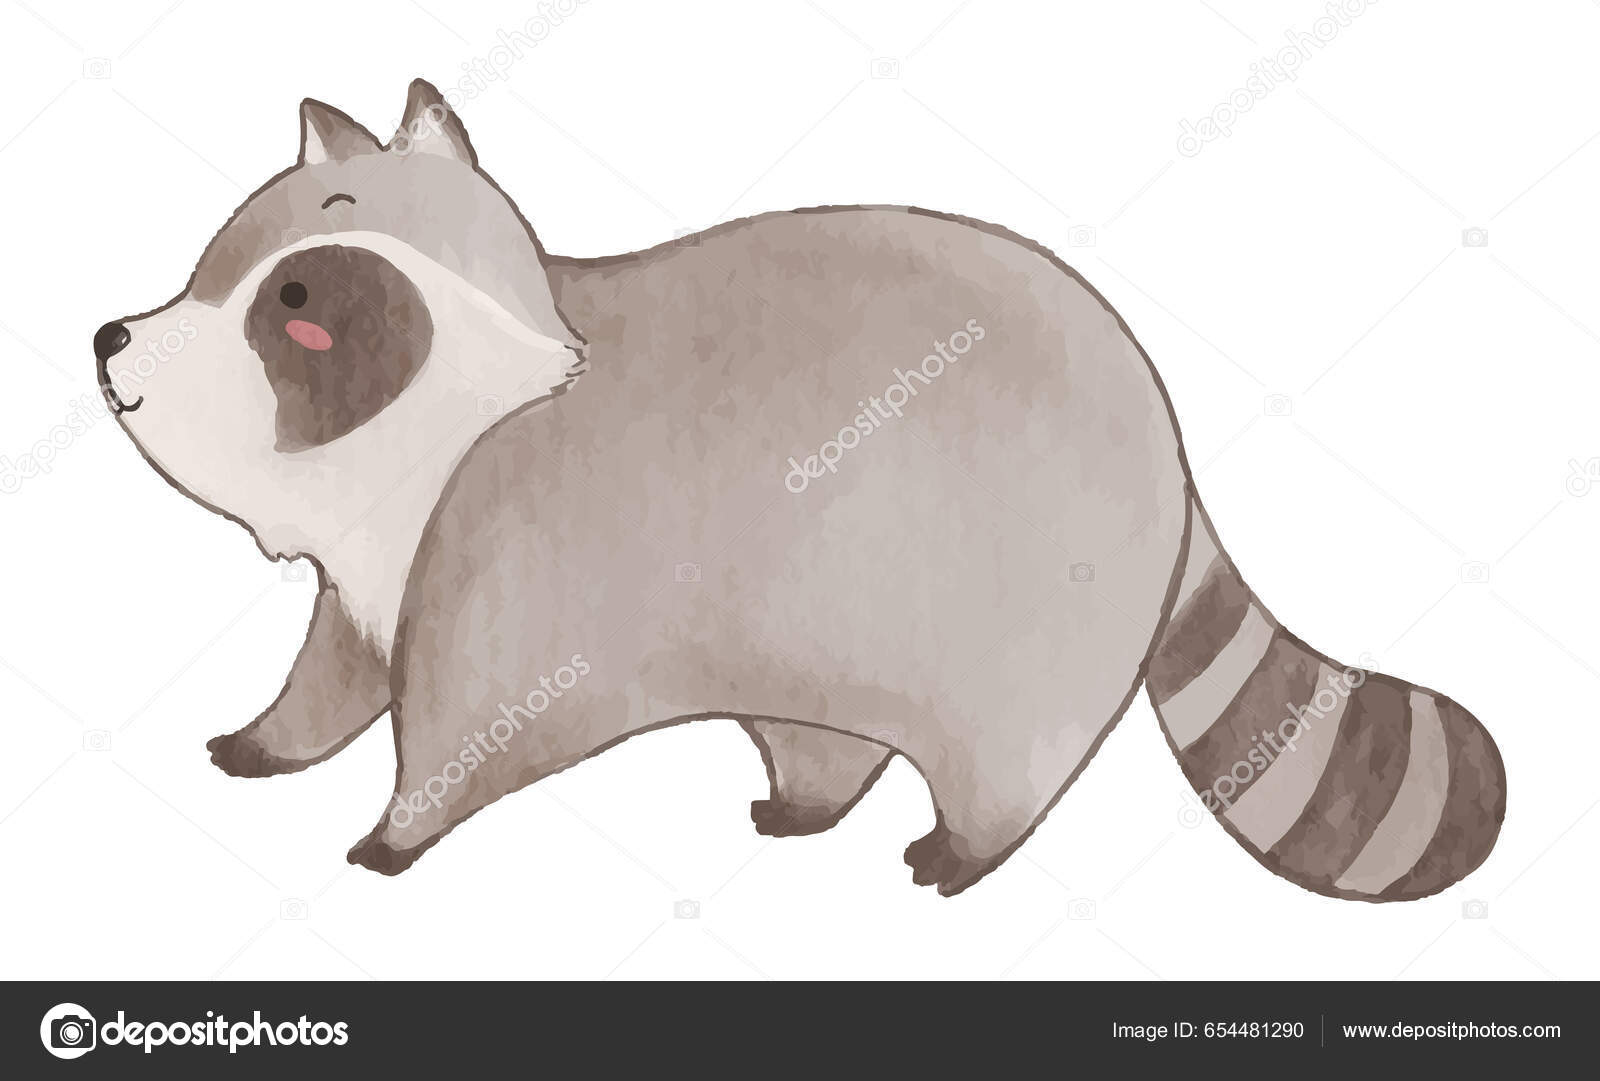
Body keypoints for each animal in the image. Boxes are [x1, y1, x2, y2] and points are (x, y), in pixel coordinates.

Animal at [96, 80, 1504, 899]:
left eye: (289, 300)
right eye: (209, 266)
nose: (111, 343)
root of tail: (1165, 427)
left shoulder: (519, 557)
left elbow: (473, 723)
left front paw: (400, 824)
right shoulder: (380, 559)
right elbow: (336, 668)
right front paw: (274, 736)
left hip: (1025, 603)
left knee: (1008, 750)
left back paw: (969, 845)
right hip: (809, 622)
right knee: (813, 727)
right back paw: (807, 799)